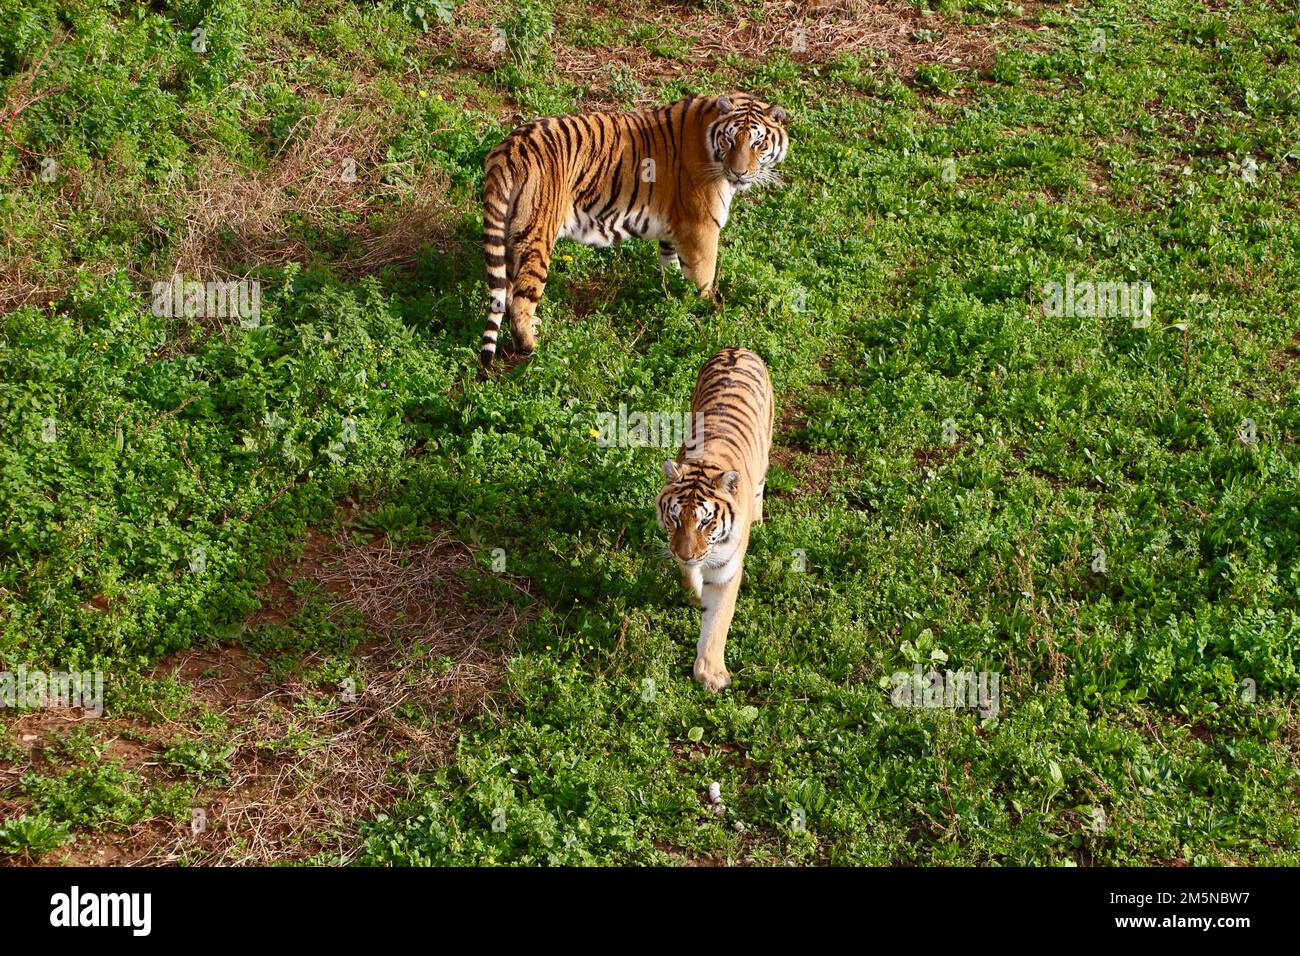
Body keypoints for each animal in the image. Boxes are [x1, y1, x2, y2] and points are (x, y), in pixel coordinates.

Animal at [479, 93, 789, 366]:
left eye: (758, 143)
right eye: (730, 139)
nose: (739, 173)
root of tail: (509, 148)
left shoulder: (674, 230)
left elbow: (671, 268)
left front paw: (672, 301)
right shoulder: (701, 227)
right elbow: (703, 279)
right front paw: (704, 315)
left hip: (511, 233)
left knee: (507, 292)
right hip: (537, 236)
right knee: (520, 302)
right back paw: (532, 347)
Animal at [656, 346, 774, 692]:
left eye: (705, 522)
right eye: (674, 519)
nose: (685, 553)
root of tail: (738, 347)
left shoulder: (725, 569)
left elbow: (717, 621)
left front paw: (710, 674)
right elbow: (690, 575)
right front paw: (694, 592)